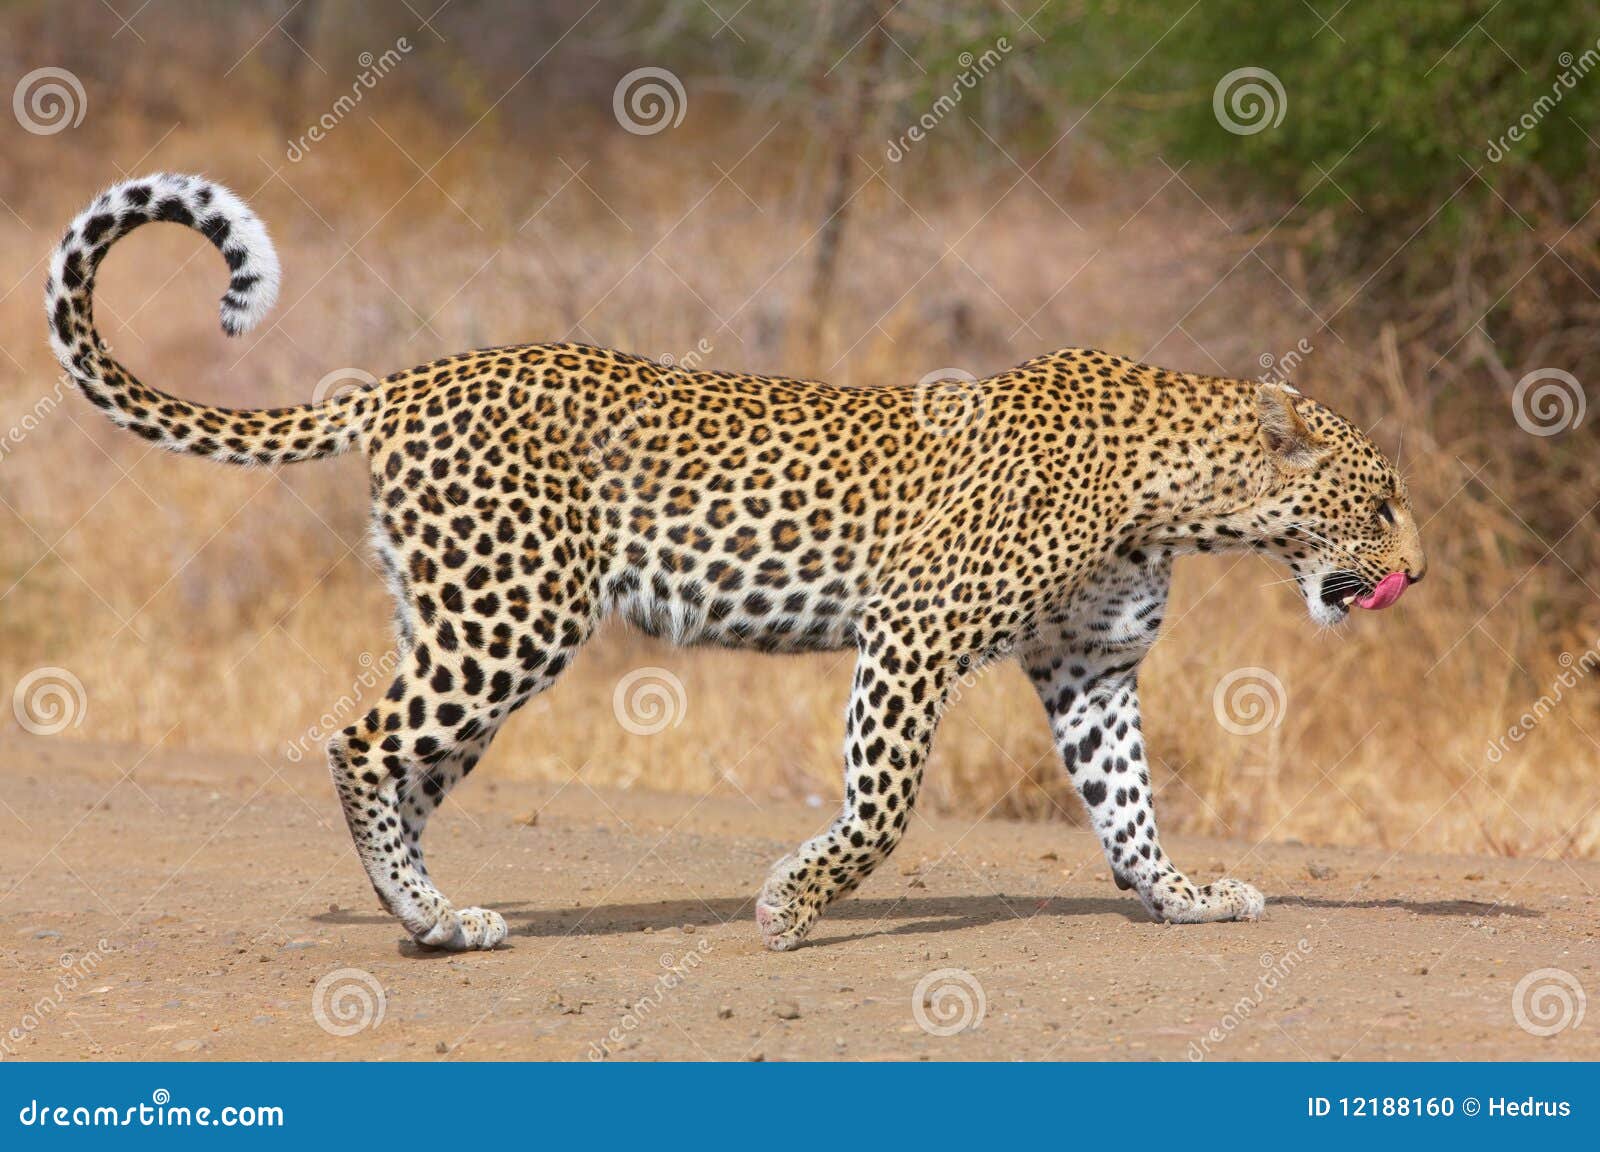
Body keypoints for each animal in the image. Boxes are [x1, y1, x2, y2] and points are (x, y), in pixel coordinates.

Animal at [47, 173, 1425, 952]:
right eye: (1381, 498)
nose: (1420, 569)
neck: (1175, 495)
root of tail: (403, 380)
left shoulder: (1089, 670)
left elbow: (1129, 807)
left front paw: (1183, 898)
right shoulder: (913, 633)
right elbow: (884, 805)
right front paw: (794, 907)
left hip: (463, 624)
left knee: (411, 769)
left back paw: (436, 920)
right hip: (509, 618)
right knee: (359, 744)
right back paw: (429, 918)